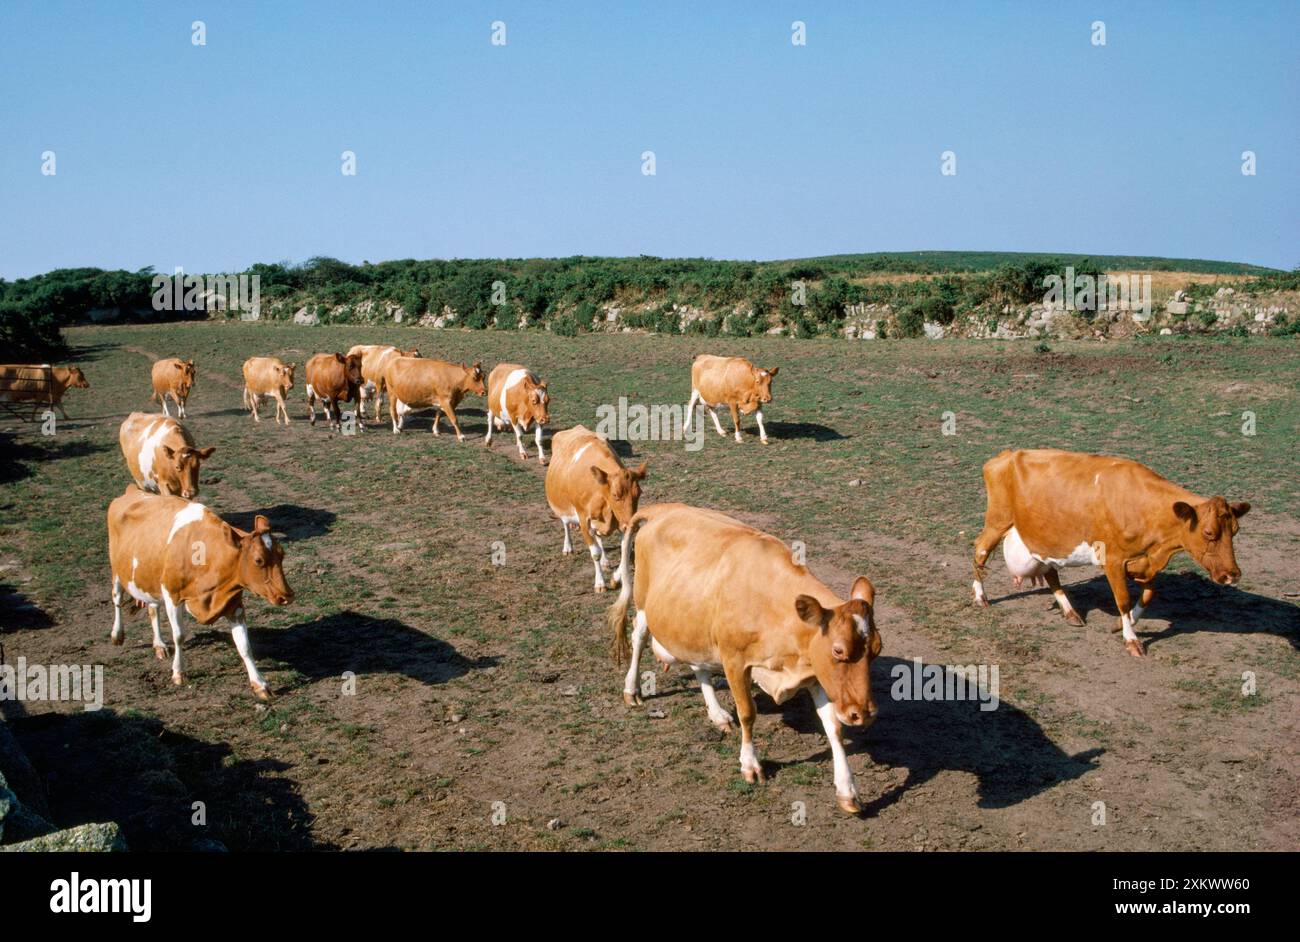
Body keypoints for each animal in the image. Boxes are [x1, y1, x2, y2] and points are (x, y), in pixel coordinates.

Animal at [106, 486, 293, 700]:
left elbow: (244, 645)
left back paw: (159, 645)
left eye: (282, 555)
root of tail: (132, 491)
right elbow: (179, 635)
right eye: (258, 560)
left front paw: (260, 684)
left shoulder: (233, 604)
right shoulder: (172, 595)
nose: (287, 595)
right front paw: (178, 673)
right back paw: (117, 634)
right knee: (117, 599)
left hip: (150, 578)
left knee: (153, 608)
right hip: (117, 571)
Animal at [544, 425, 648, 591]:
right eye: (615, 495)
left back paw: (605, 561)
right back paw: (568, 547)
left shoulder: (621, 521)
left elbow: (625, 549)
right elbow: (595, 553)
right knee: (565, 523)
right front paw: (599, 583)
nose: (634, 526)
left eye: (639, 494)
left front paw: (615, 578)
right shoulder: (583, 519)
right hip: (563, 507)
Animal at [606, 503, 881, 814]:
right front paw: (750, 764)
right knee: (639, 636)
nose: (864, 714)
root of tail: (664, 509)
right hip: (644, 601)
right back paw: (632, 689)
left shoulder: (814, 673)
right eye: (838, 650)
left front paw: (848, 789)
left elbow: (833, 726)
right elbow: (748, 713)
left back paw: (716, 714)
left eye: (877, 649)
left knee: (698, 664)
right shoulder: (735, 660)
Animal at [972, 448, 1251, 657]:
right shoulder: (1114, 561)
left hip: (1044, 539)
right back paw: (980, 597)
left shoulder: (1143, 560)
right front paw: (1131, 639)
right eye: (1208, 532)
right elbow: (1123, 600)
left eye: (1235, 530)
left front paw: (1122, 624)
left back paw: (1070, 611)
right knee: (979, 551)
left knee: (1051, 573)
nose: (1232, 574)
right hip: (997, 521)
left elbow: (1148, 594)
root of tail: (1006, 455)